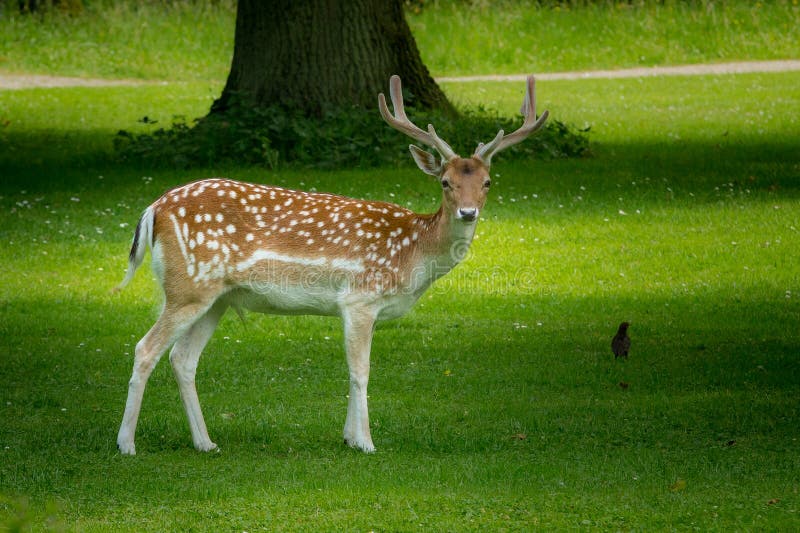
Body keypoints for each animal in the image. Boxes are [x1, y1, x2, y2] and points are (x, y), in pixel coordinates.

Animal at [114, 75, 548, 455]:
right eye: (445, 182)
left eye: (488, 182)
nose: (468, 212)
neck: (413, 253)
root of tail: (154, 209)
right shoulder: (359, 299)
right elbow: (361, 371)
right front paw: (366, 443)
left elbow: (353, 370)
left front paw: (348, 438)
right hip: (187, 286)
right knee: (145, 348)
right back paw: (127, 445)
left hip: (217, 298)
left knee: (182, 359)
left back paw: (206, 443)